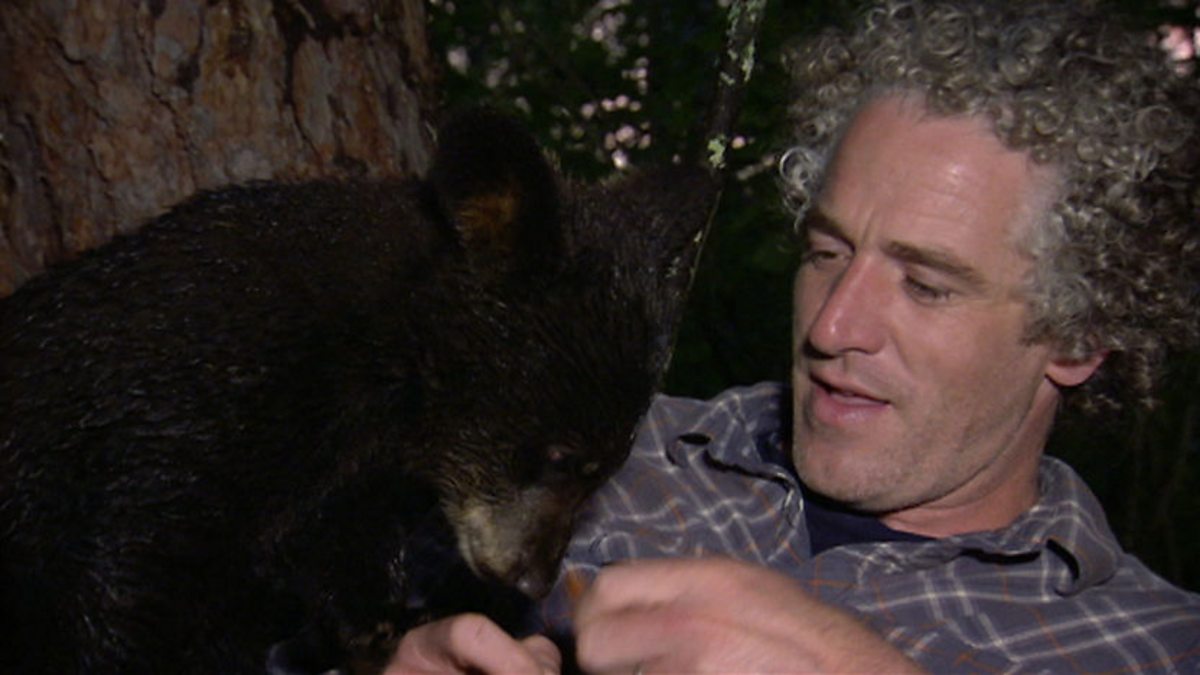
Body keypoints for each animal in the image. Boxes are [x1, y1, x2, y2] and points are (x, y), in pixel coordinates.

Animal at [0, 109, 718, 674]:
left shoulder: (341, 483)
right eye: (564, 457)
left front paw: (375, 621)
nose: (534, 578)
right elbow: (141, 587)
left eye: (608, 469)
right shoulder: (174, 422)